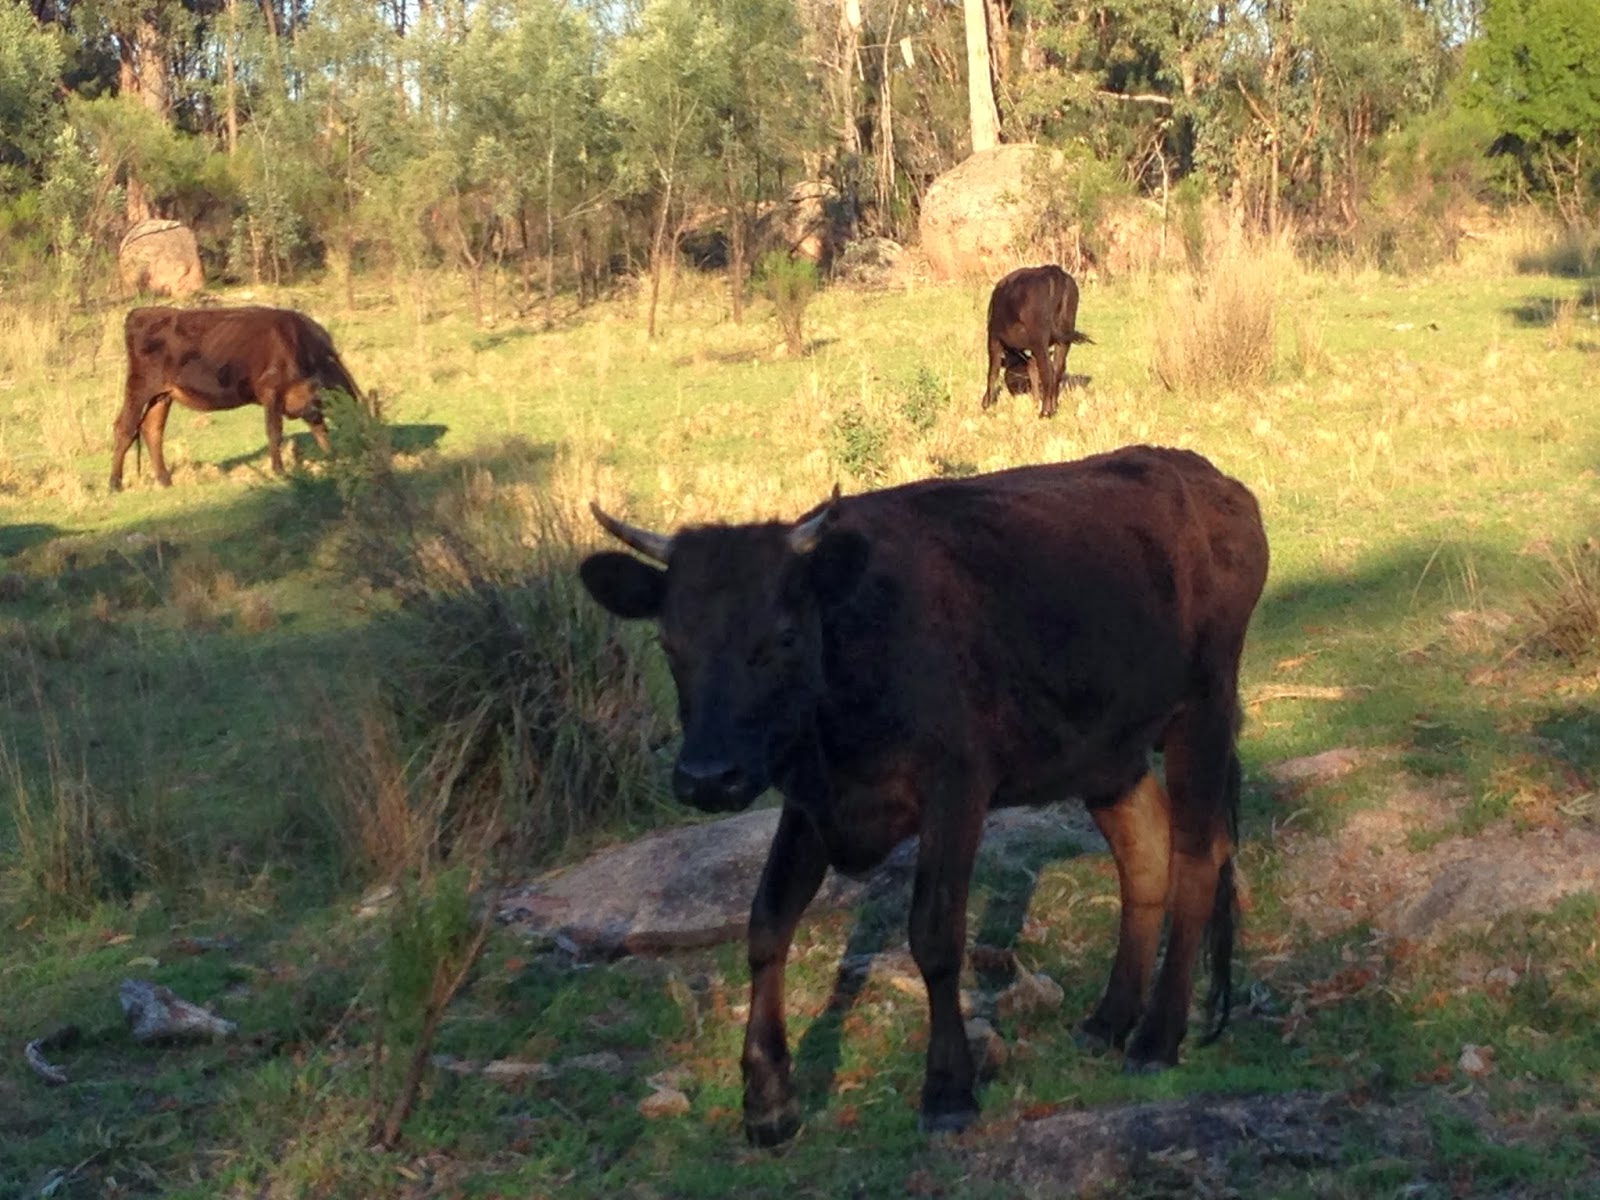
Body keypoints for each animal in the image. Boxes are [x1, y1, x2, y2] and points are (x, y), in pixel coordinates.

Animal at [109, 306, 366, 492]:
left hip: (162, 395)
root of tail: (141, 312)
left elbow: (320, 428)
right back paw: (115, 484)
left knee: (152, 430)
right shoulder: (271, 391)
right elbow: (275, 432)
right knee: (125, 428)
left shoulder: (307, 400)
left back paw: (165, 479)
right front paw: (279, 470)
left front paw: (332, 457)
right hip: (139, 387)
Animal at [579, 445, 1270, 1146]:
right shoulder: (809, 803)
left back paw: (1156, 1038)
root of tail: (1207, 477)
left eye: (784, 637)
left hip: (1202, 711)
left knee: (1196, 861)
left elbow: (934, 935)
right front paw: (767, 1099)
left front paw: (947, 1090)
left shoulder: (956, 786)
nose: (708, 777)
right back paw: (1109, 1020)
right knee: (1146, 856)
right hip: (1107, 752)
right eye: (670, 643)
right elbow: (767, 924)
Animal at [982, 264, 1093, 419]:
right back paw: (1053, 407)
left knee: (1047, 371)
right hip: (1063, 339)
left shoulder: (994, 338)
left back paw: (1045, 411)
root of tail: (1053, 270)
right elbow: (1033, 369)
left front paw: (986, 403)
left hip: (1040, 340)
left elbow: (993, 371)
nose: (1016, 391)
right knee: (1057, 370)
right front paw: (1035, 399)